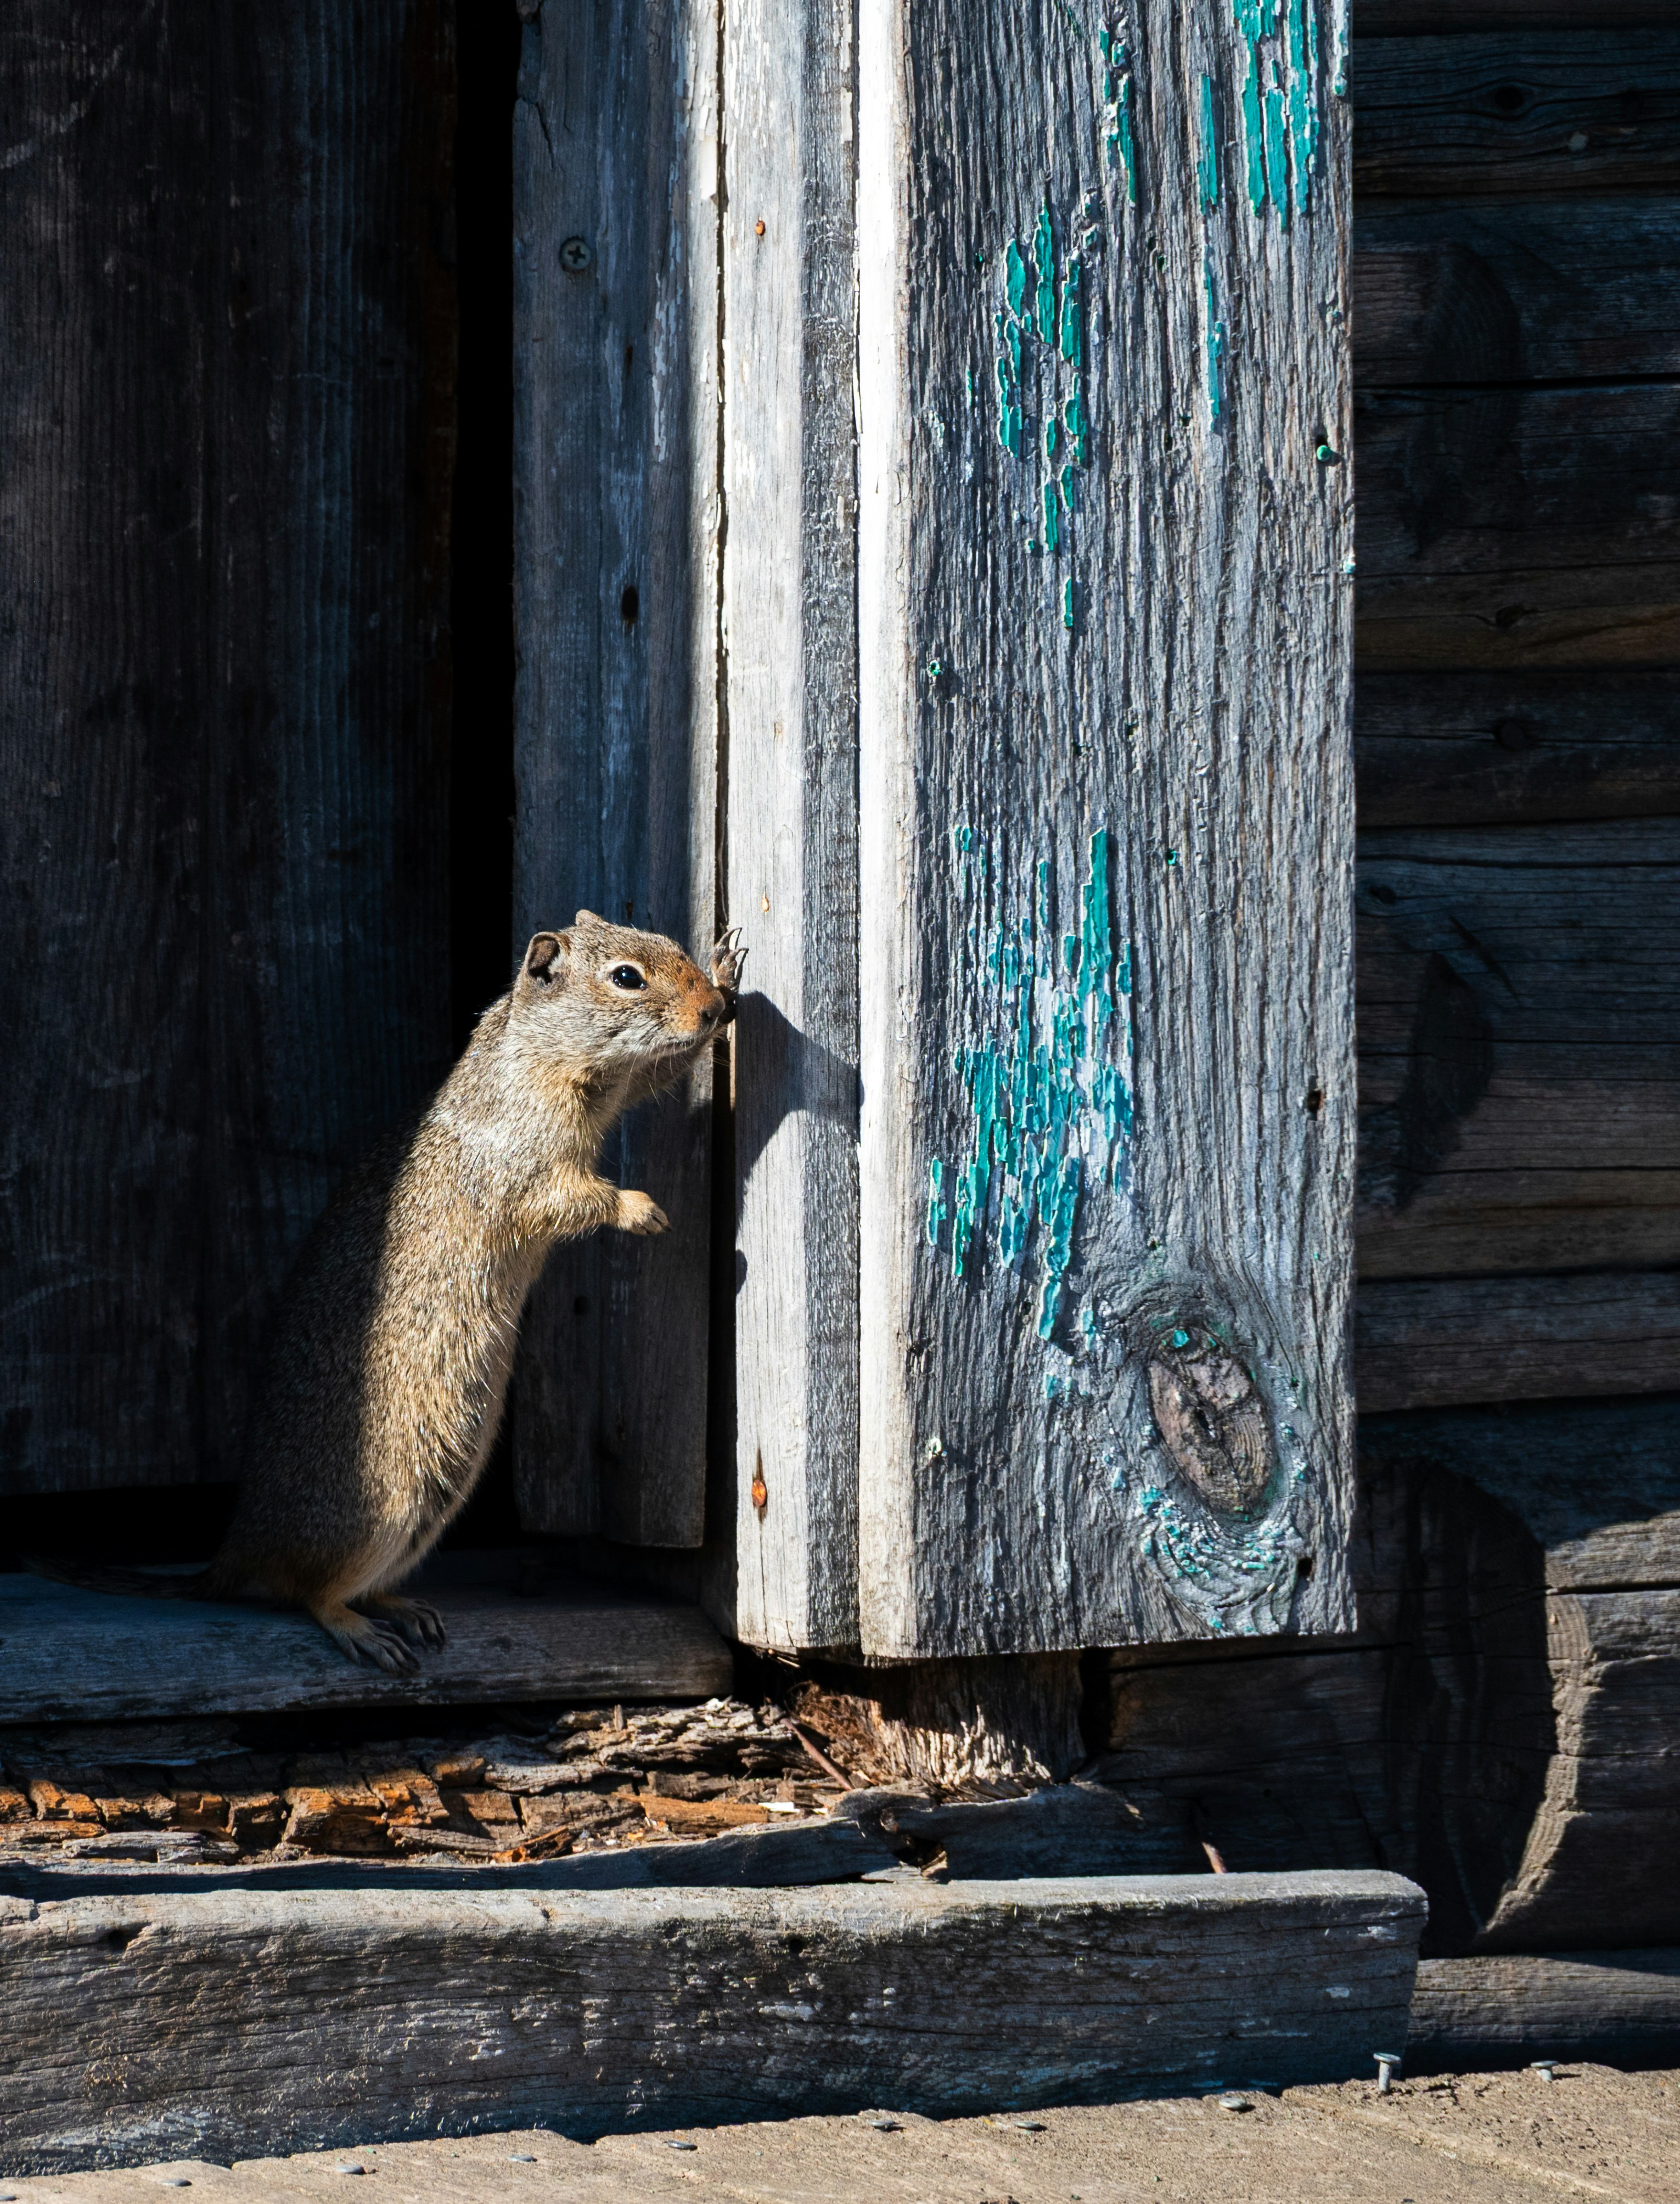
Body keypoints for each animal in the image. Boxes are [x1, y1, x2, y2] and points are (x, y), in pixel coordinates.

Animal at [29, 913, 741, 1673]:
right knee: (303, 1590)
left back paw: (402, 1607)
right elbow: (572, 1199)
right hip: (386, 1509)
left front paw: (729, 976)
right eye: (626, 978)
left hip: (433, 1504)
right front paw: (638, 1209)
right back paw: (358, 1629)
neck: (530, 1052)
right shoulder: (526, 1167)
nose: (708, 1009)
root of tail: (233, 1553)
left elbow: (662, 1073)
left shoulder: (620, 1087)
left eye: (666, 943)